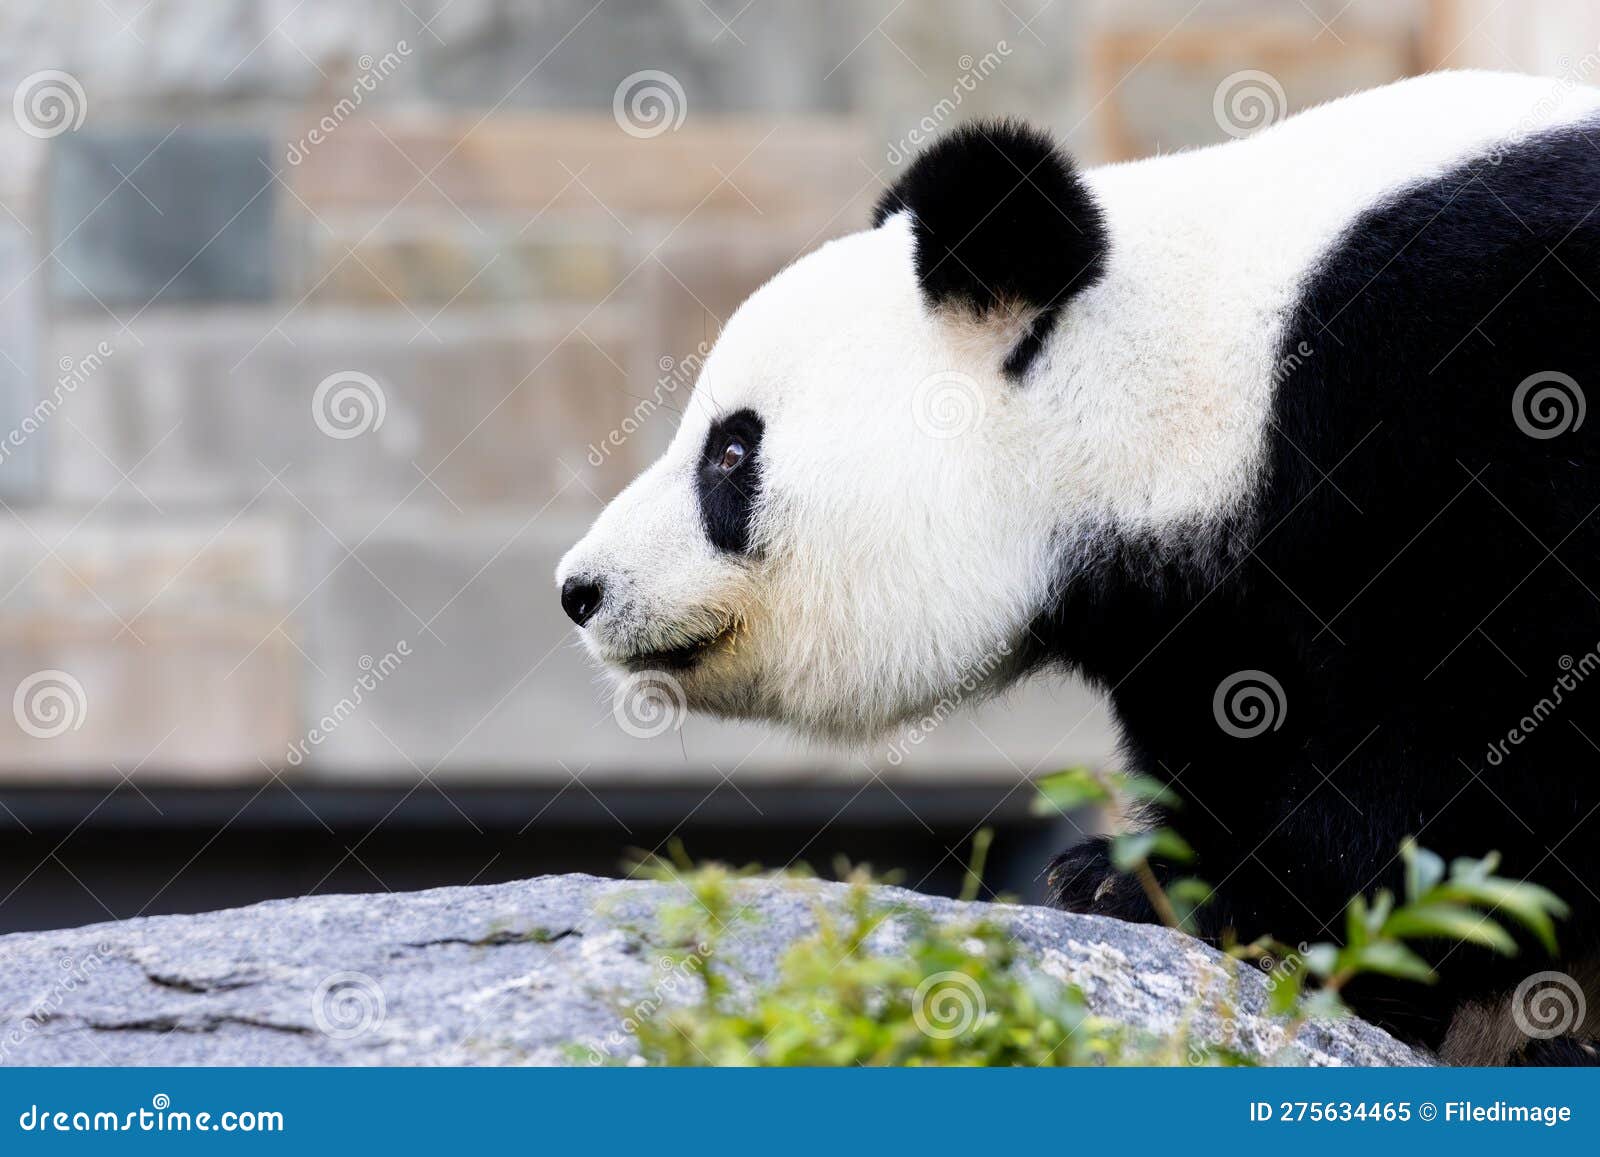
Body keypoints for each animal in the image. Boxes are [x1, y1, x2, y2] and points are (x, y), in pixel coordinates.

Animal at [557, 70, 1600, 1065]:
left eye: (733, 451)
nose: (580, 590)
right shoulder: (1210, 598)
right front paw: (1137, 871)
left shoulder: (1479, 388)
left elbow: (1487, 724)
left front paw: (1197, 892)